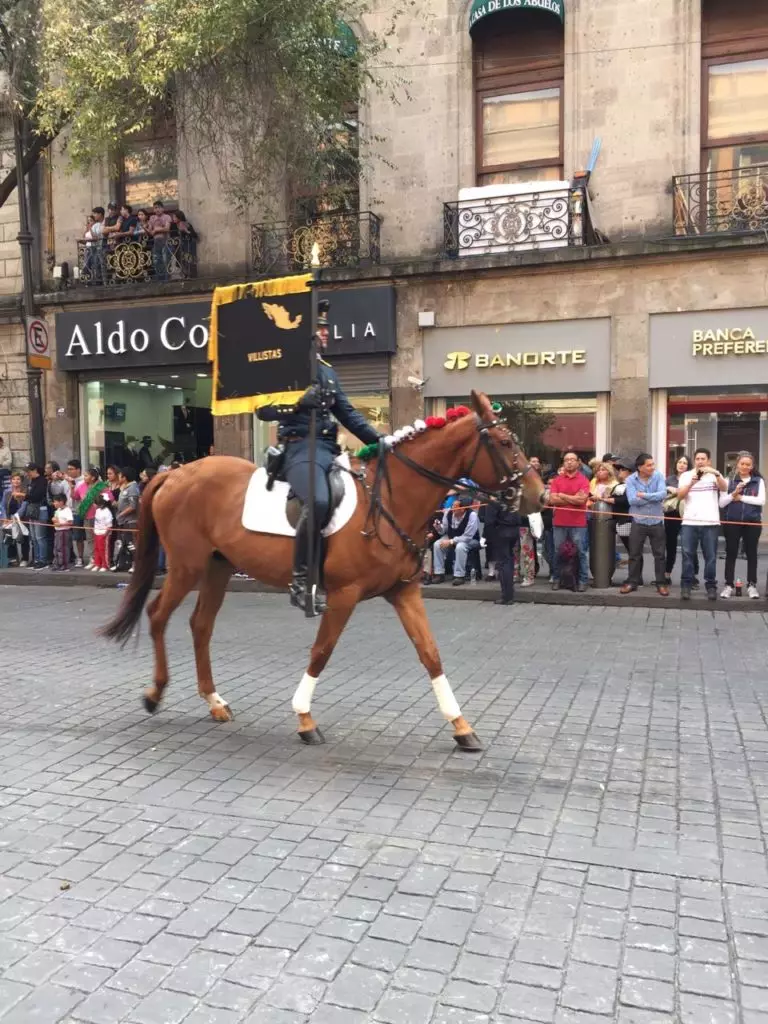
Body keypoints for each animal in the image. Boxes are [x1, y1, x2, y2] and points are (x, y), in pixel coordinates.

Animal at [103, 391, 548, 753]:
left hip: (217, 568)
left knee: (200, 625)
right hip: (187, 566)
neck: (389, 499)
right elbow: (322, 650)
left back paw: (213, 701)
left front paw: (461, 725)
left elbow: (430, 654)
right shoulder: (344, 595)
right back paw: (155, 693)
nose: (539, 495)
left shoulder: (404, 591)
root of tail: (175, 473)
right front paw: (304, 718)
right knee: (158, 616)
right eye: (505, 443)